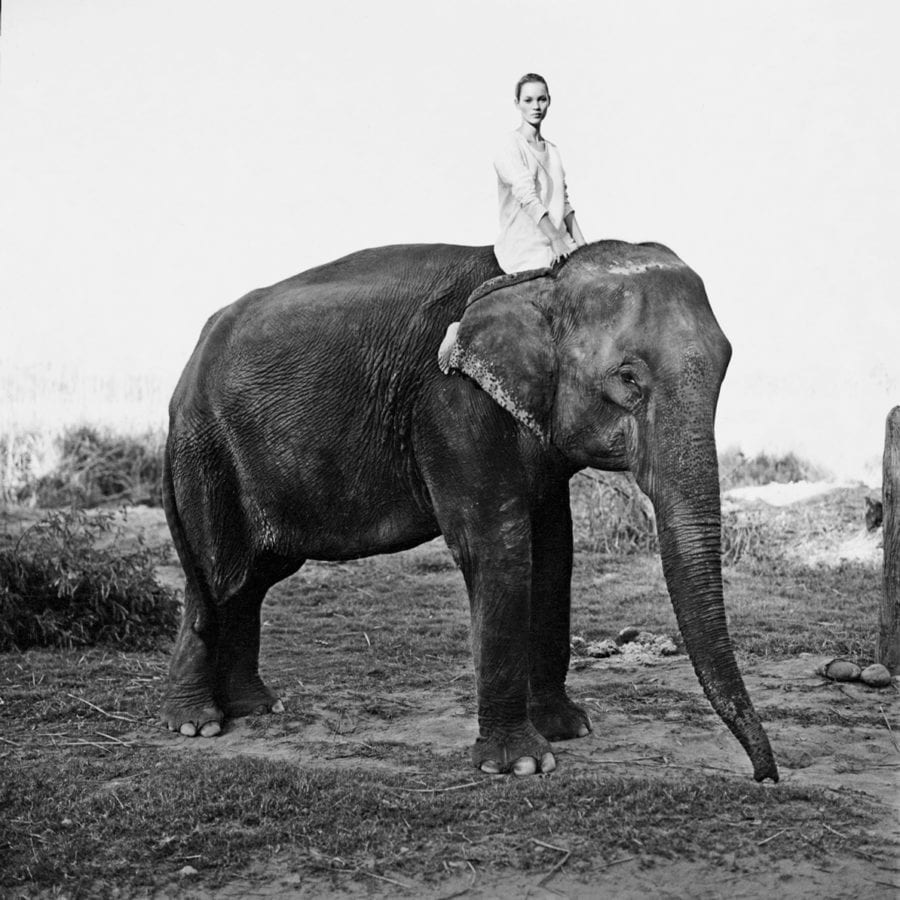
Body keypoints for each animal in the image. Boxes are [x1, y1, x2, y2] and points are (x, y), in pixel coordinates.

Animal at [161, 239, 779, 782]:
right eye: (627, 378)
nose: (765, 778)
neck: (542, 277)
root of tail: (183, 374)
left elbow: (553, 552)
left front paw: (567, 729)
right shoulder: (452, 406)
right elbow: (498, 547)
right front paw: (521, 764)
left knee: (252, 579)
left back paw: (257, 709)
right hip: (205, 452)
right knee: (219, 575)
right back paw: (197, 724)